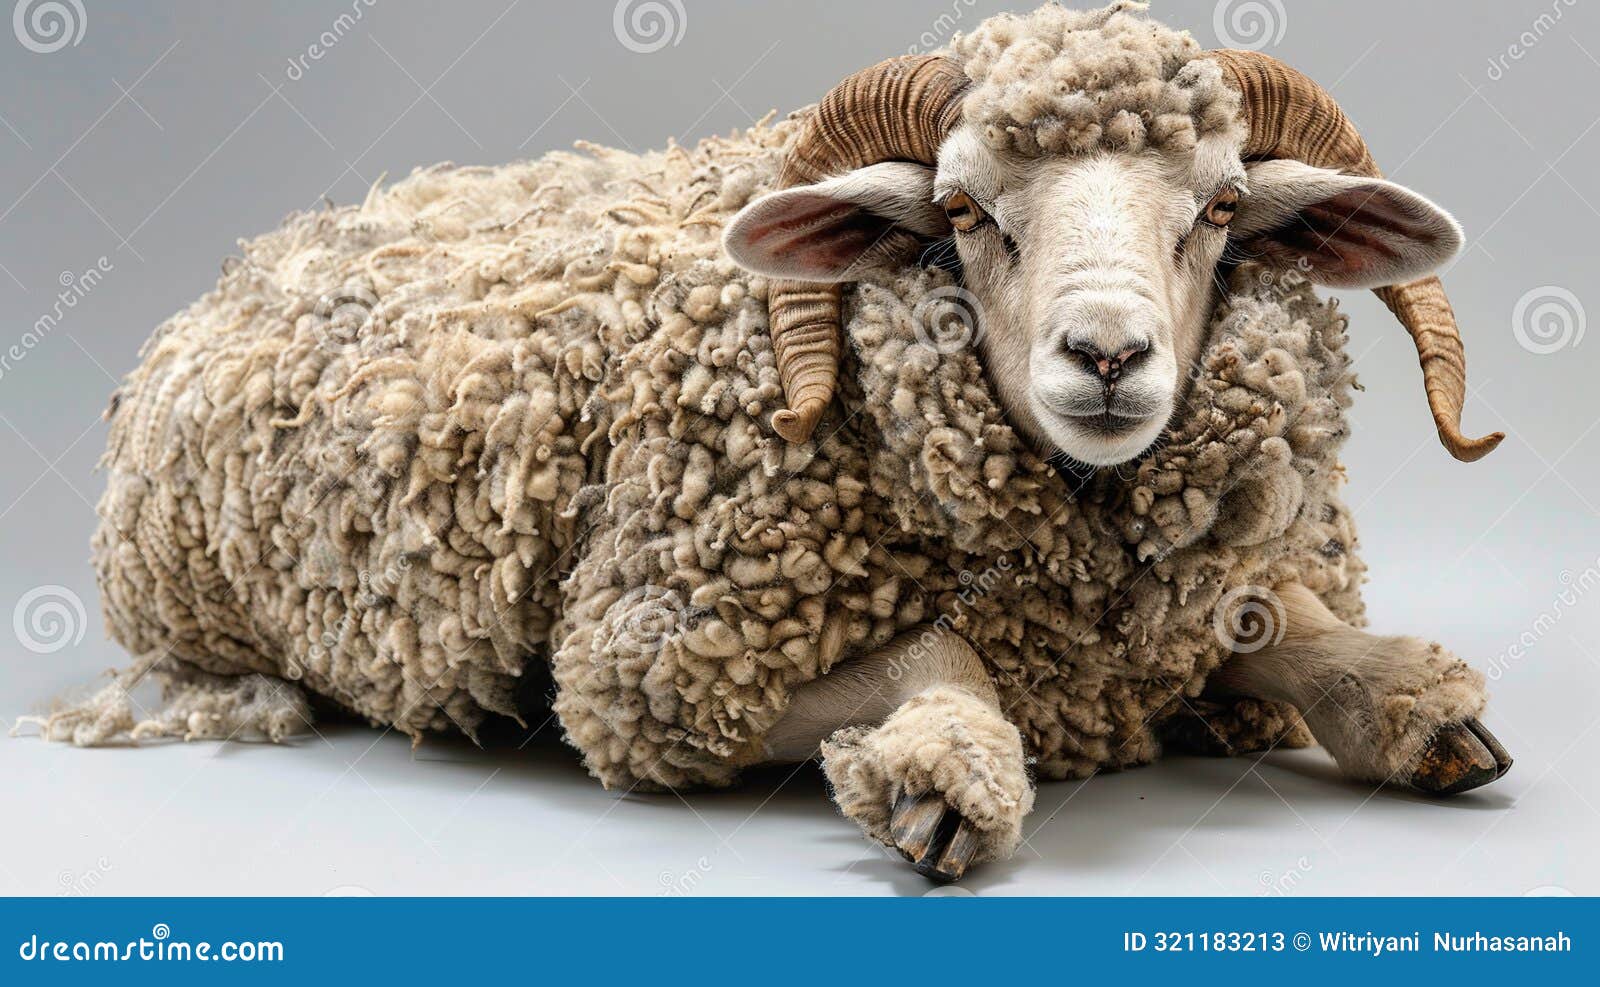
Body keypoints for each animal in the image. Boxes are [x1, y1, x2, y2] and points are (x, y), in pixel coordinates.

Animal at [29, 1, 1512, 883]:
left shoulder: (1214, 588)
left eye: (1216, 210)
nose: (1106, 358)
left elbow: (1288, 624)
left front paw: (1412, 700)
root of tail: (275, 239)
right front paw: (941, 775)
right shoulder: (646, 670)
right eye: (962, 212)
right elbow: (940, 654)